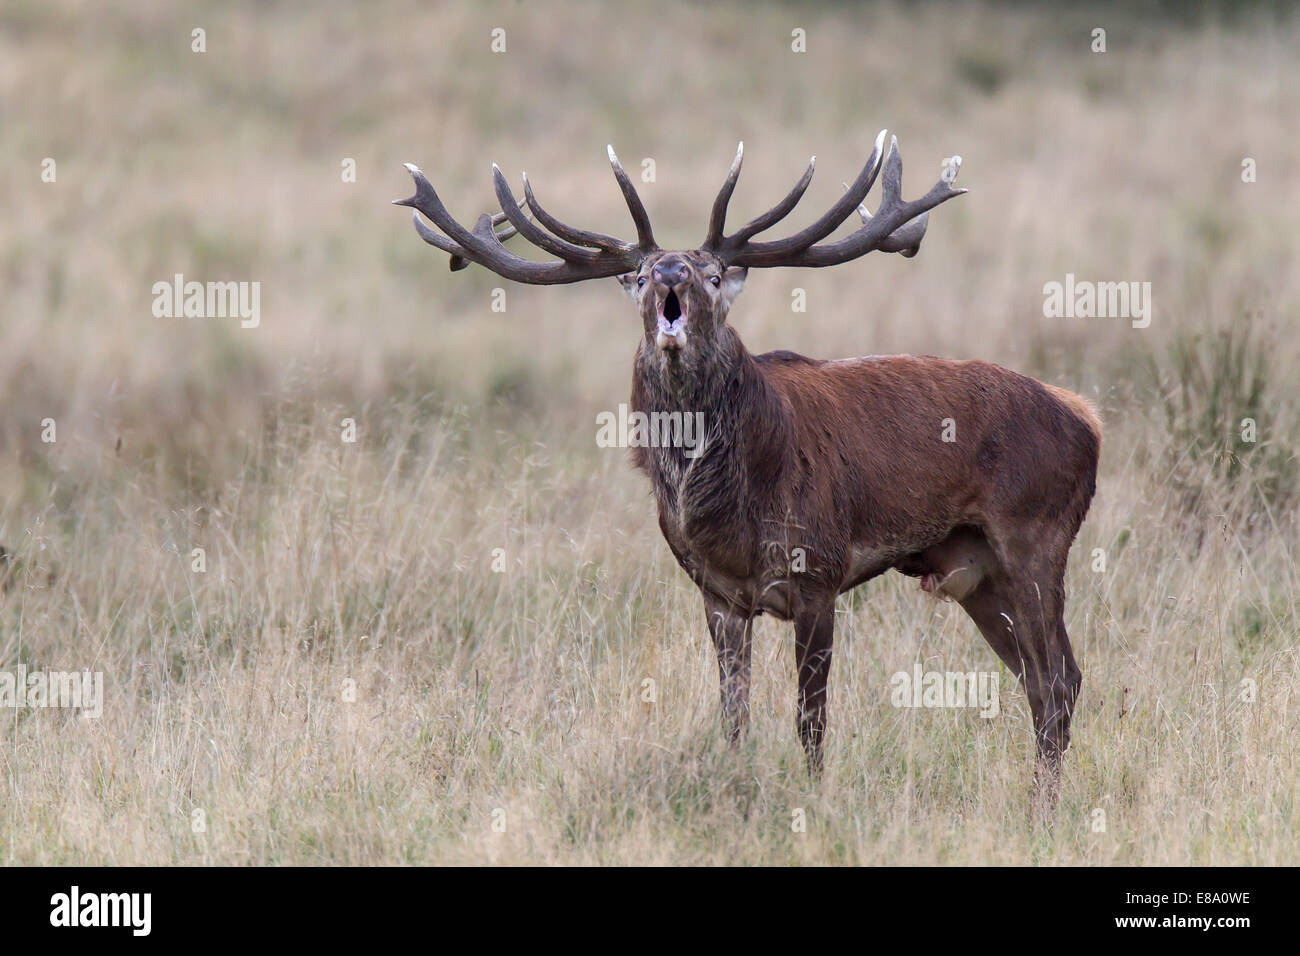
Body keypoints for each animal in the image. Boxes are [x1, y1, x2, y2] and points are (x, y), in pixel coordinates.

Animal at [394, 130, 1101, 798]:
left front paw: (814, 801)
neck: (731, 507)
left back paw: (1042, 810)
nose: (672, 272)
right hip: (975, 572)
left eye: (713, 276)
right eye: (642, 275)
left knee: (1060, 678)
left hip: (1033, 538)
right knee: (1038, 680)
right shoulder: (718, 594)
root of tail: (1087, 420)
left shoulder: (818, 573)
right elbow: (734, 716)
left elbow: (811, 721)